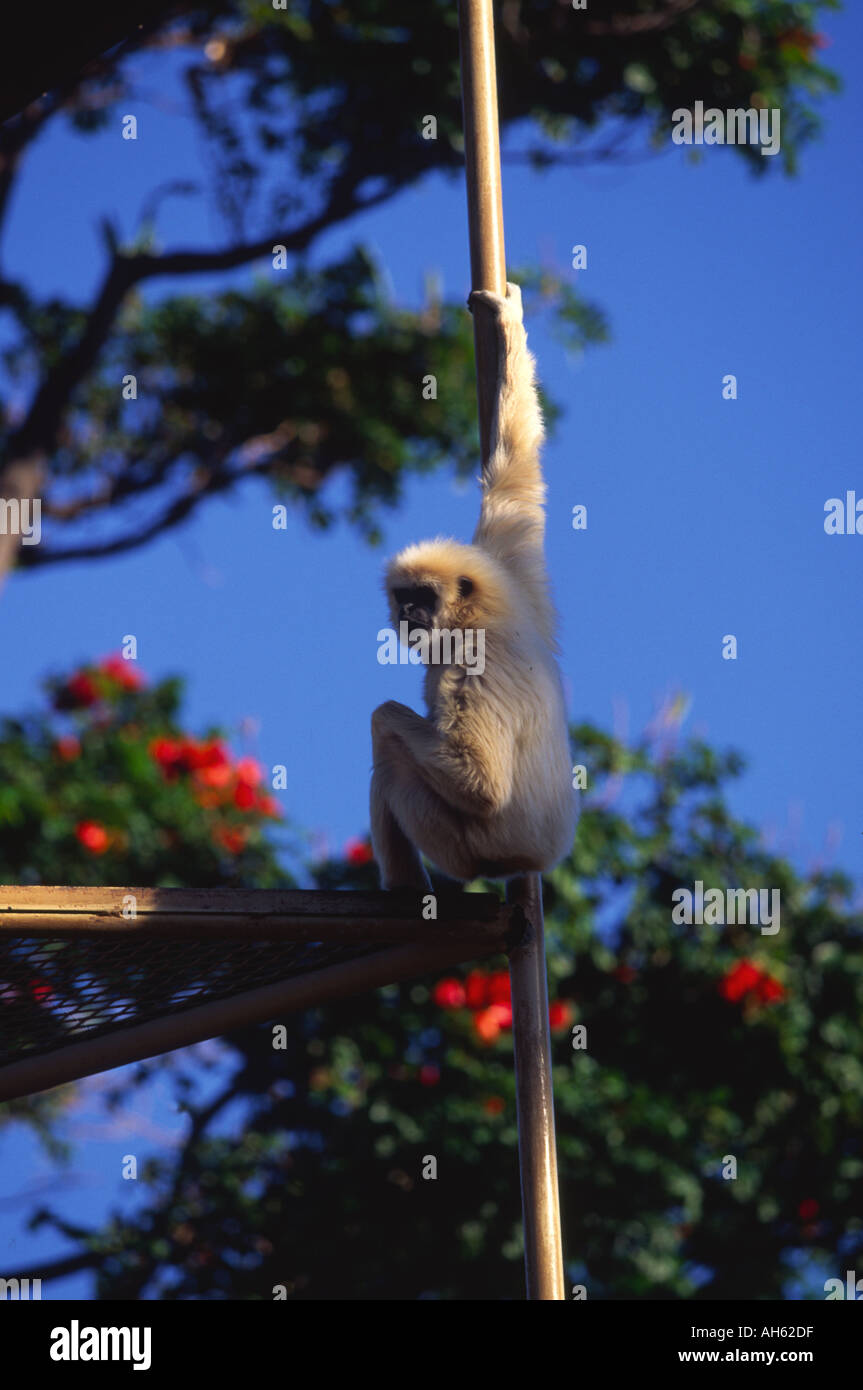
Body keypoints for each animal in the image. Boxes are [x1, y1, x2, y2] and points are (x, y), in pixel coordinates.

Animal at [370, 281, 577, 890]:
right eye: (404, 598)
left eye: (423, 598)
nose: (410, 616)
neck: (480, 612)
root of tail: (543, 854)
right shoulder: (511, 571)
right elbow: (516, 467)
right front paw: (508, 321)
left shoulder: (466, 660)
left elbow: (479, 783)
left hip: (468, 847)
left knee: (390, 748)